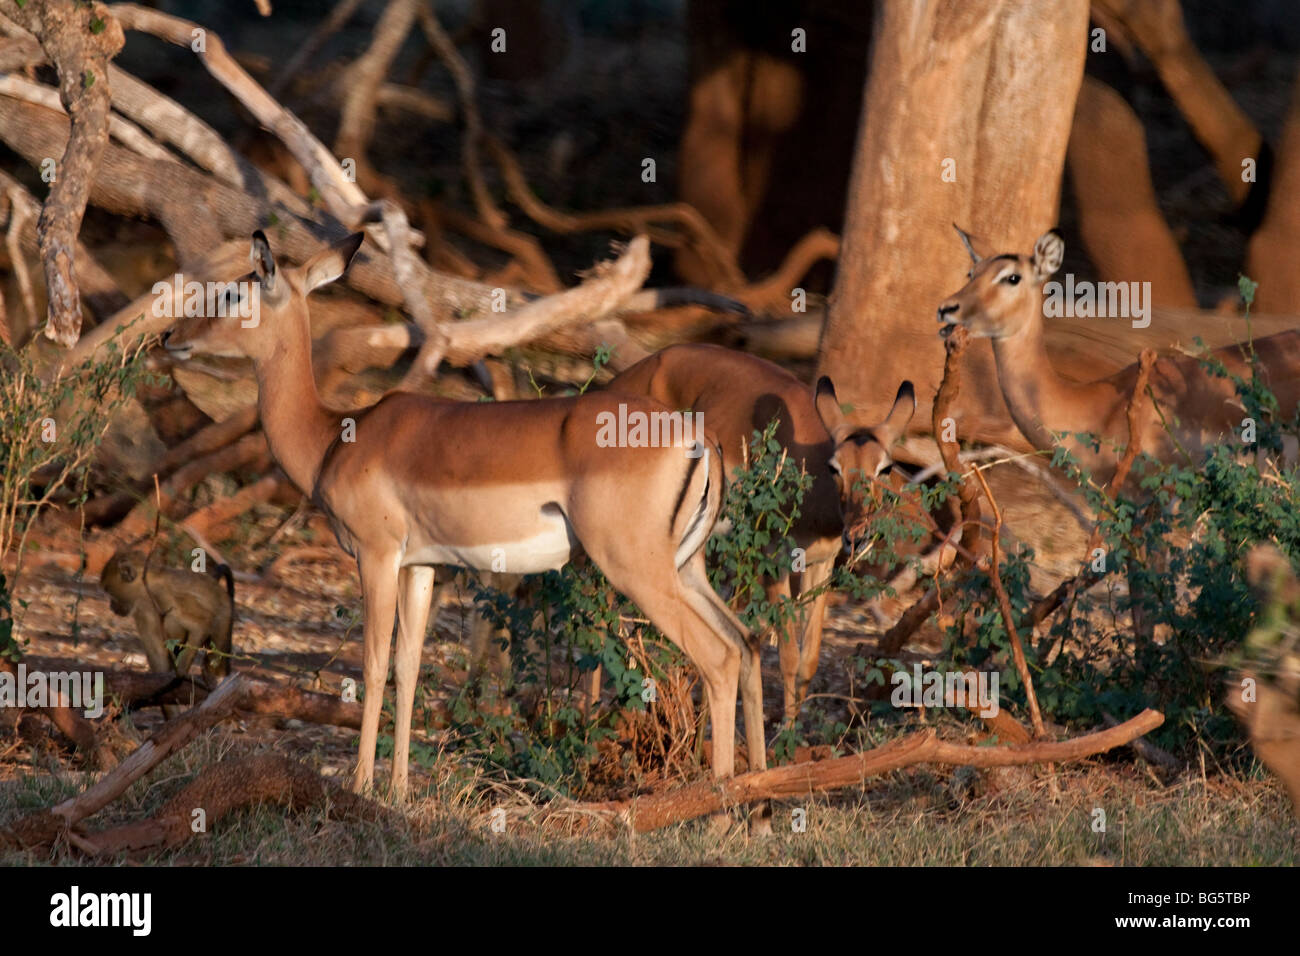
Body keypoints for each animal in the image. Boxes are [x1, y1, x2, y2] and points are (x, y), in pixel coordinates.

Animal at [162, 232, 767, 798]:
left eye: (235, 291)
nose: (171, 338)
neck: (336, 437)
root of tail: (697, 437)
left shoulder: (377, 556)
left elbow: (373, 664)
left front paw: (361, 785)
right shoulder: (421, 566)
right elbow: (408, 666)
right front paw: (399, 791)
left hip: (637, 569)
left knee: (718, 657)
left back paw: (722, 803)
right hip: (685, 568)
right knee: (747, 643)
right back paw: (759, 802)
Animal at [606, 344, 915, 721]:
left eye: (884, 468)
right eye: (835, 467)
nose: (857, 534)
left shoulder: (821, 565)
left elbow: (809, 659)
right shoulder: (774, 560)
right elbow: (788, 657)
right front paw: (785, 729)